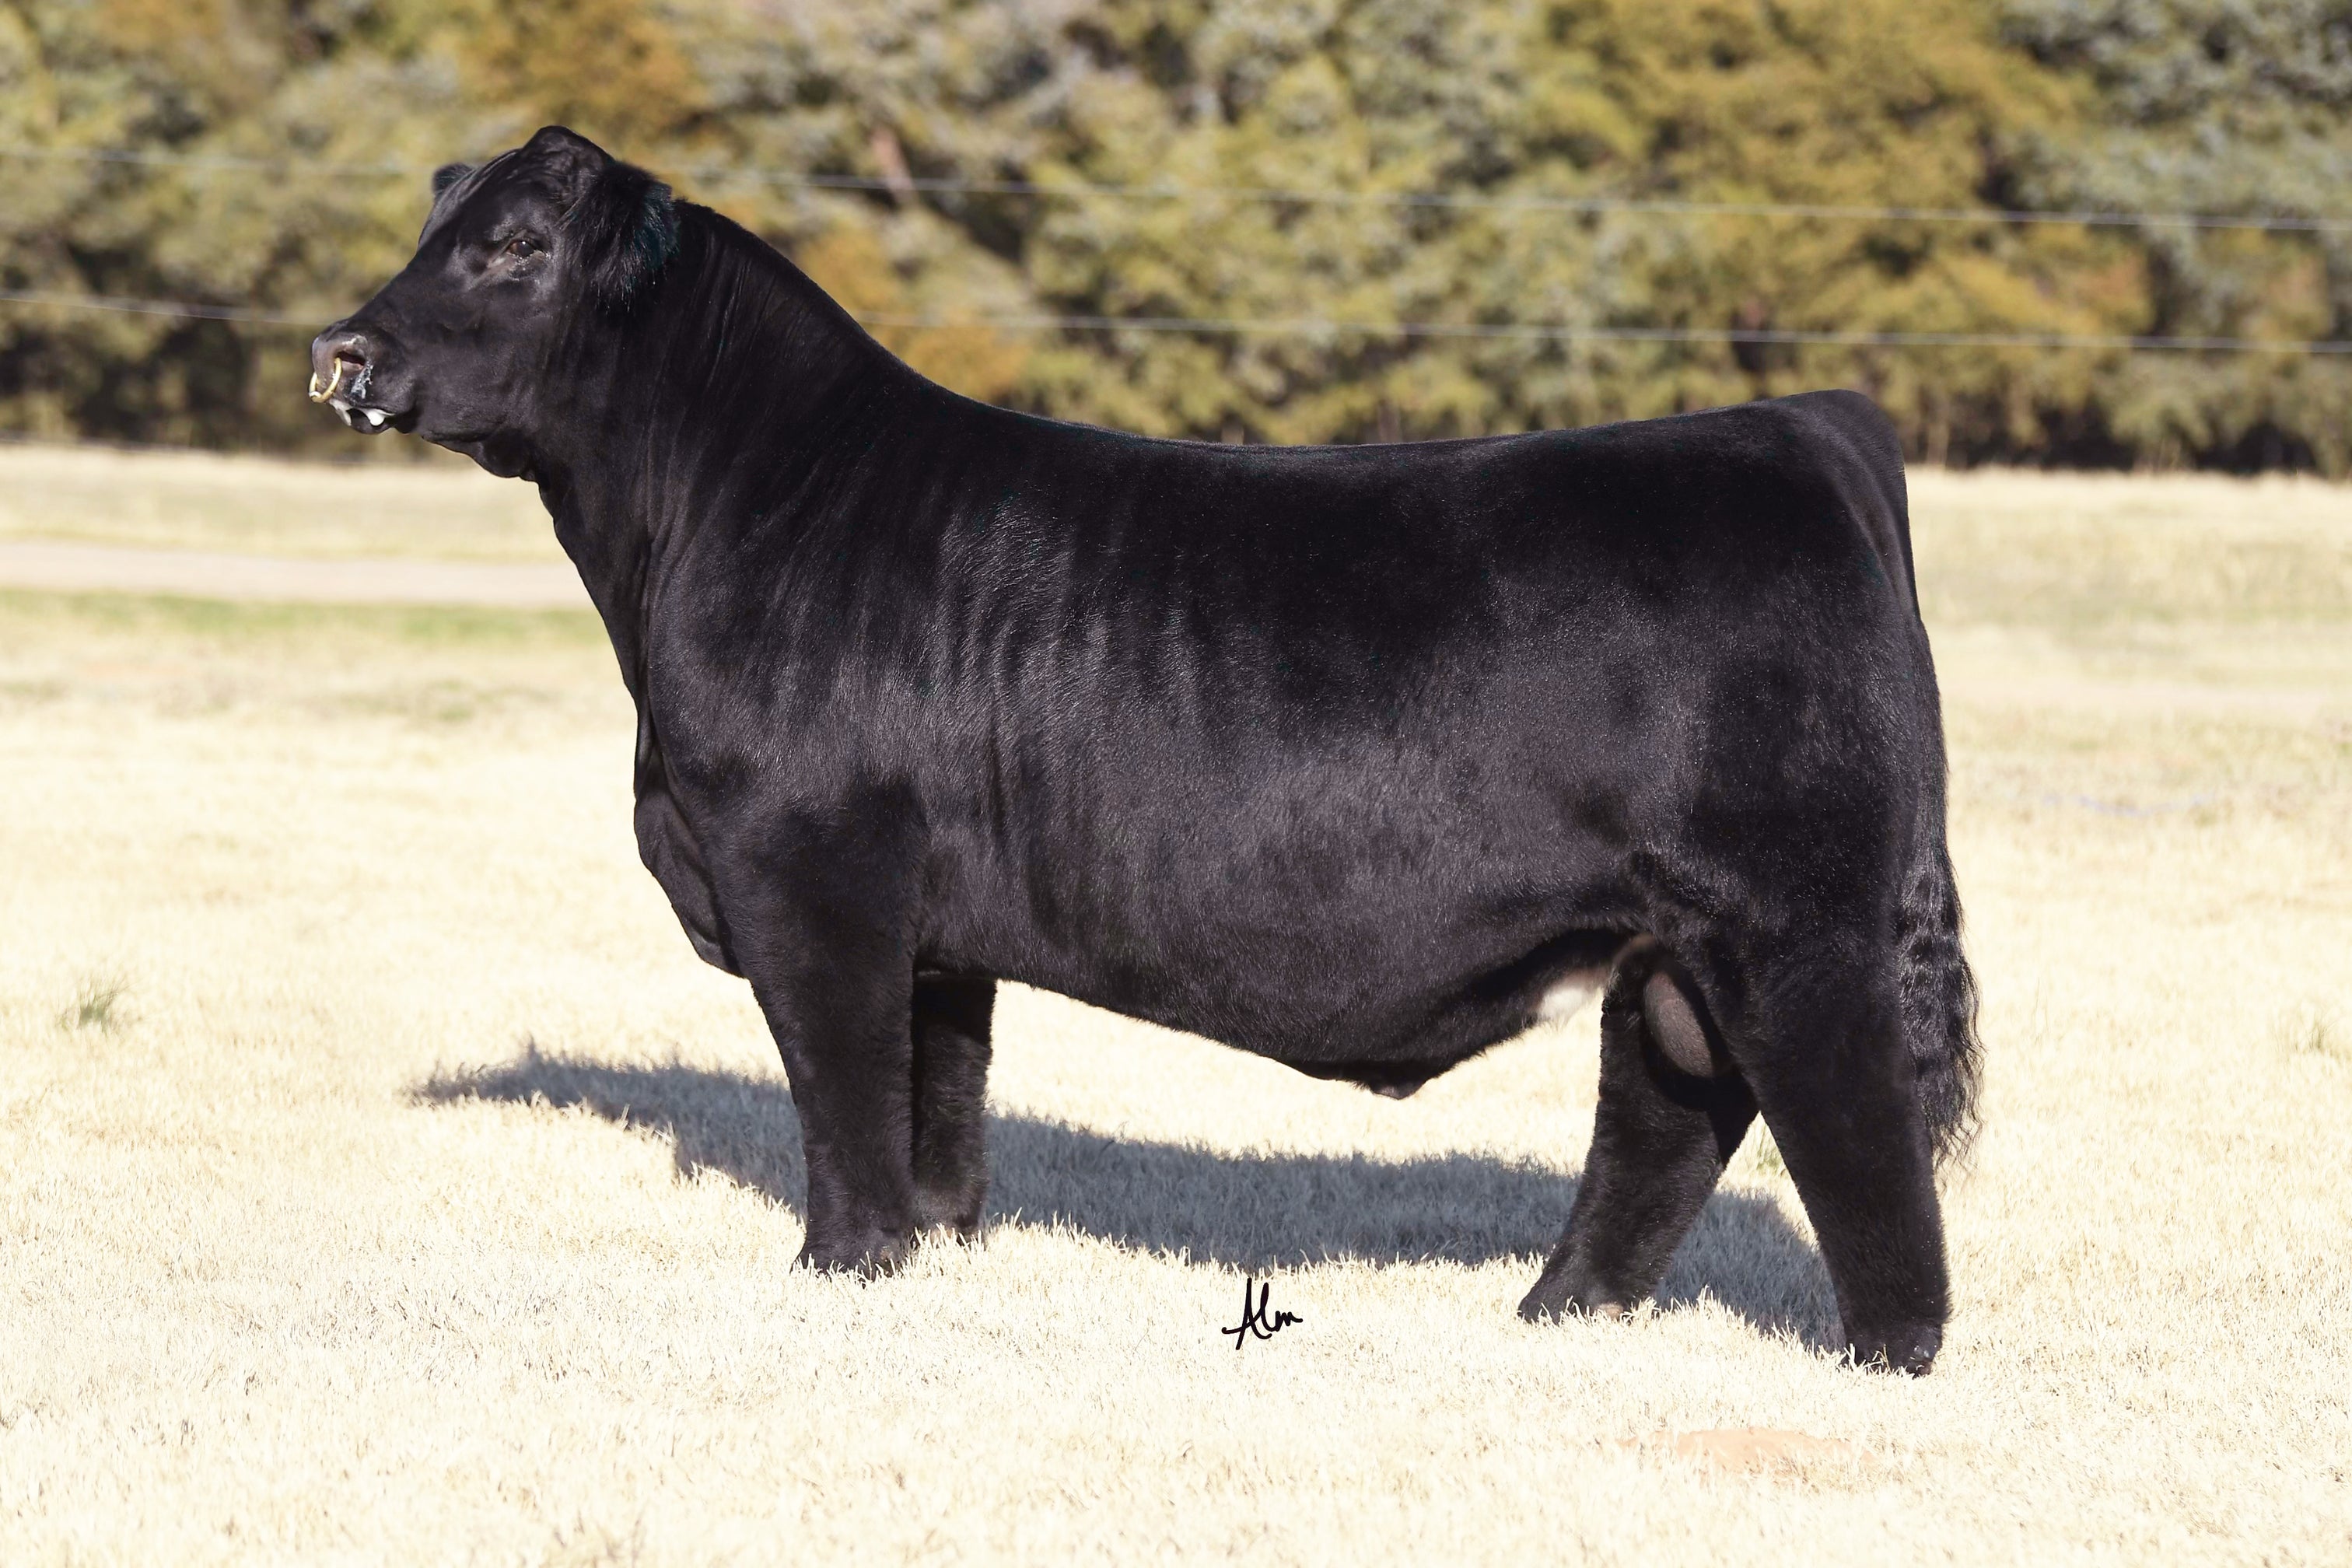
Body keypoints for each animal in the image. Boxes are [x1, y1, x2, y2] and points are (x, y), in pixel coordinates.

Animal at [311, 127, 1979, 1374]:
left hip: (1796, 926)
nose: (343, 348)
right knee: (1666, 1115)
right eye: (435, 221)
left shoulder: (808, 870)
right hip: (1671, 944)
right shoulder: (933, 928)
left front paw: (840, 1264)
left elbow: (840, 1089)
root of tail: (1801, 426)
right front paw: (931, 1247)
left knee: (1855, 1143)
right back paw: (1553, 1314)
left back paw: (1879, 1359)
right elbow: (935, 1099)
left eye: (520, 248)